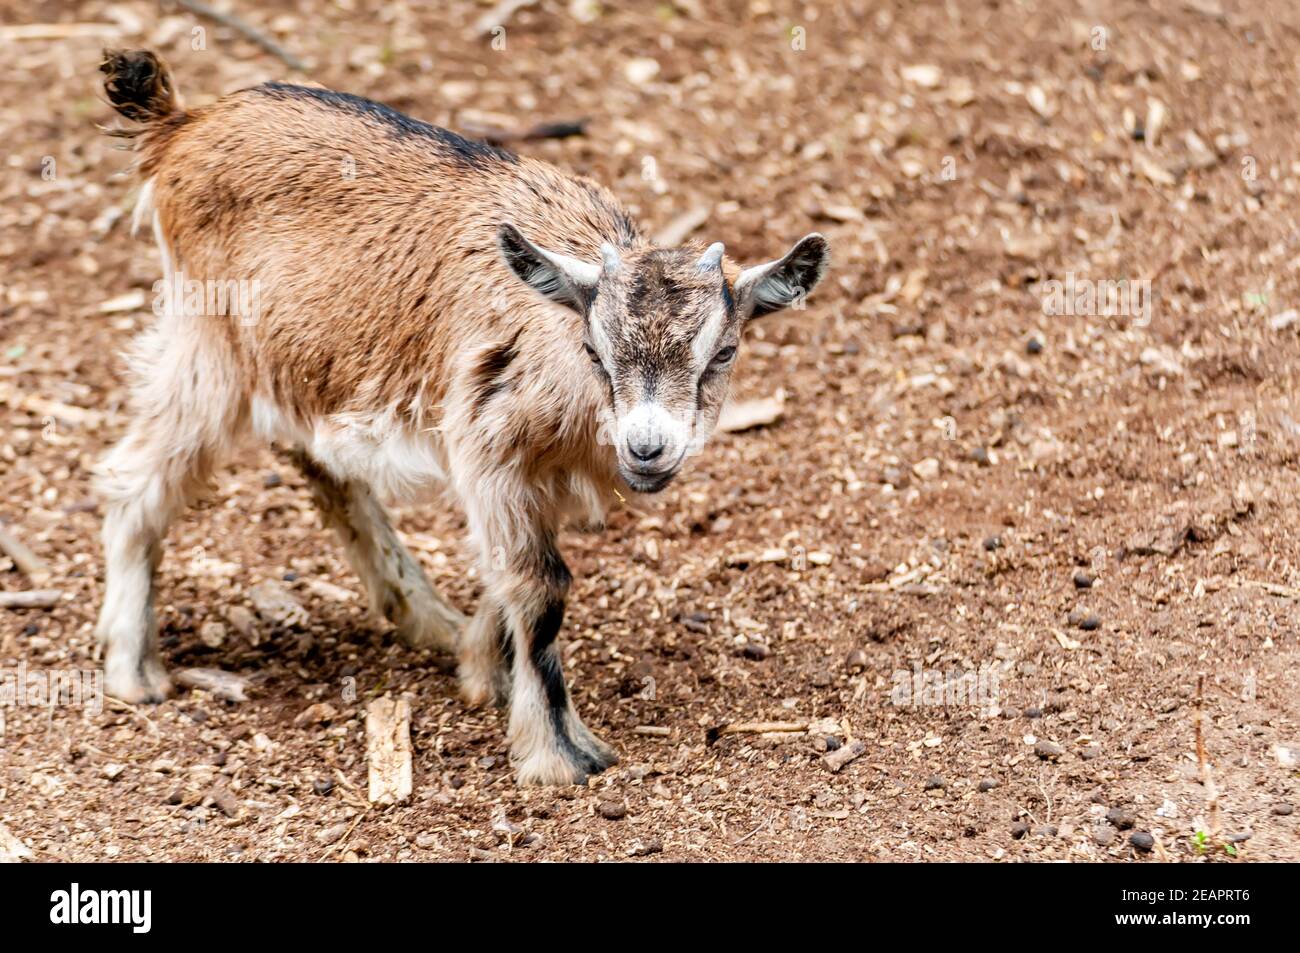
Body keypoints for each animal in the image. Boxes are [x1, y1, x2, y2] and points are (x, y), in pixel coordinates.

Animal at [96, 50, 830, 784]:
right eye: (595, 348)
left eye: (724, 351)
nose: (648, 449)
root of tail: (182, 125)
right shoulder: (489, 449)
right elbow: (539, 583)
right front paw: (559, 753)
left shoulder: (537, 476)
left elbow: (506, 570)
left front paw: (481, 665)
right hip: (210, 350)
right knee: (137, 477)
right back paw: (133, 670)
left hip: (305, 360)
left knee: (319, 463)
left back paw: (425, 617)